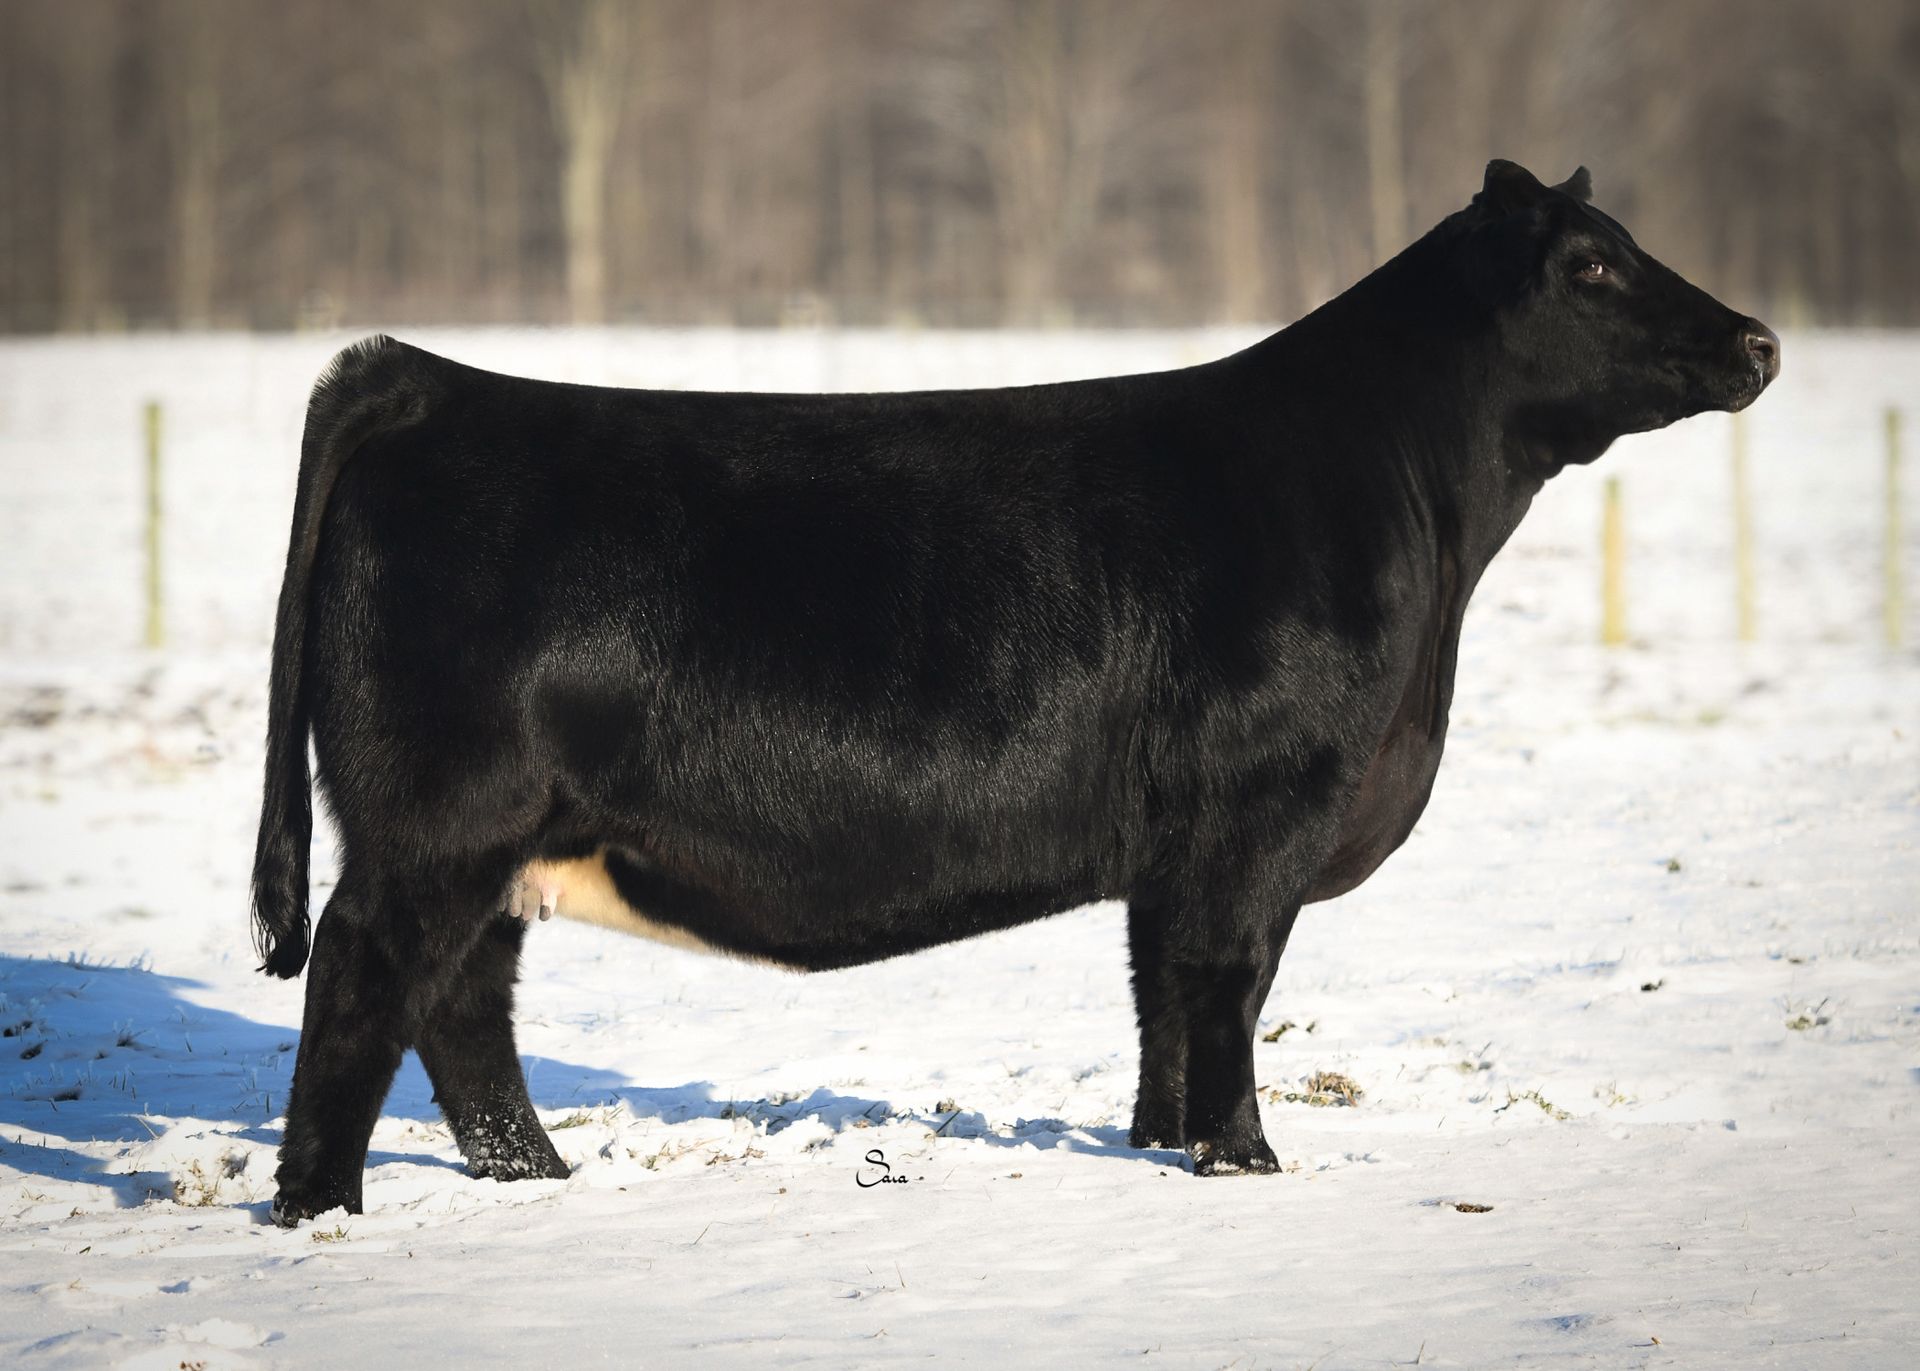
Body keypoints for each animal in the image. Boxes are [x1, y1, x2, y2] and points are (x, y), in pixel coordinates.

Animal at [253, 161, 1779, 1225]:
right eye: (1592, 263)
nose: (1758, 340)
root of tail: (428, 378)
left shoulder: (1174, 846)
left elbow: (1163, 991)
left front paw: (1162, 1142)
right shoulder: (1264, 807)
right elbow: (1231, 981)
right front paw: (1249, 1160)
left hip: (500, 838)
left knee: (463, 1008)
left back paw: (539, 1179)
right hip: (441, 820)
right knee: (367, 977)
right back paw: (323, 1208)